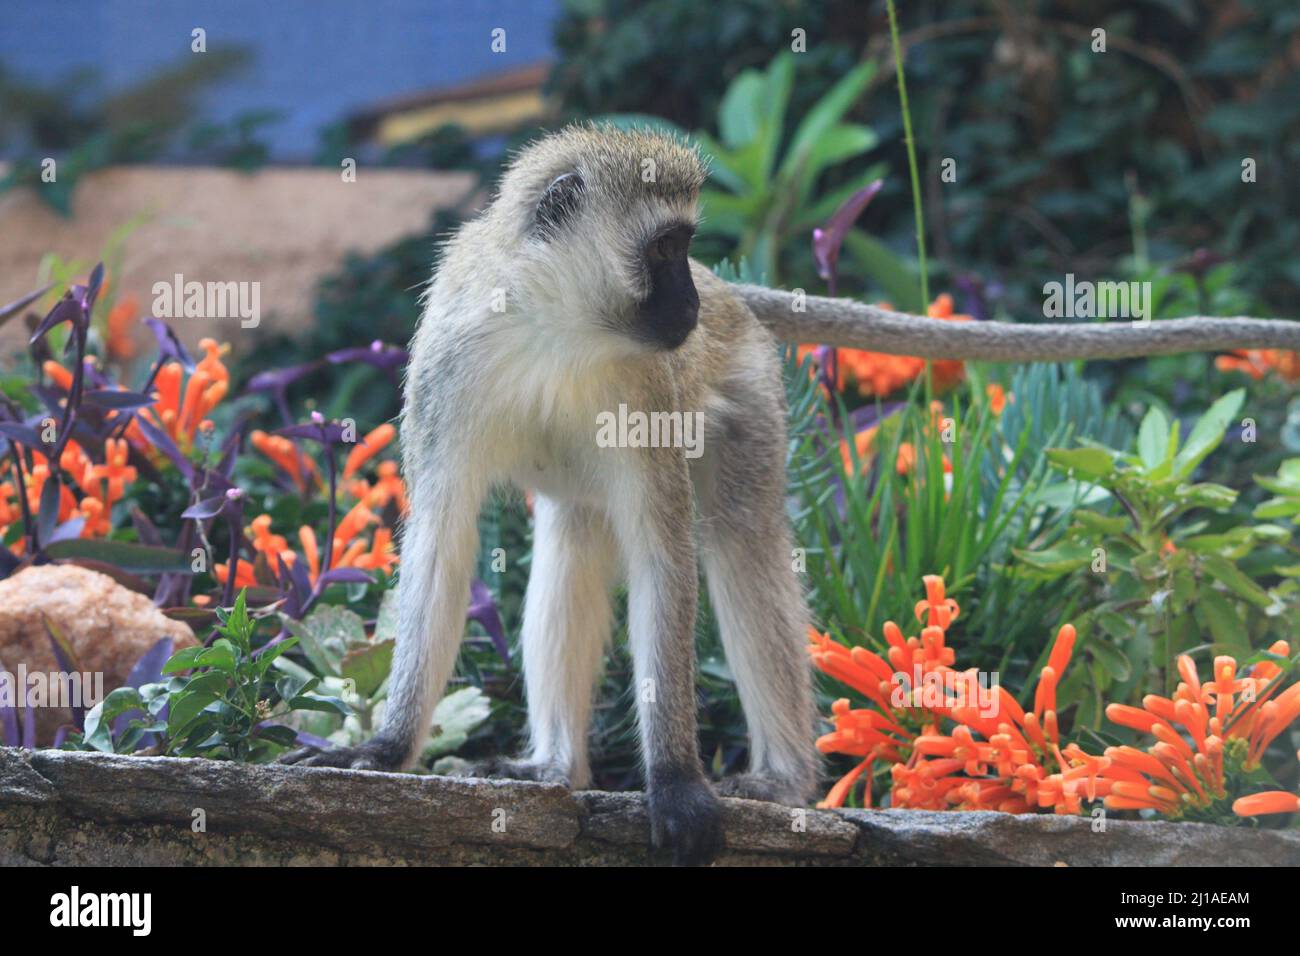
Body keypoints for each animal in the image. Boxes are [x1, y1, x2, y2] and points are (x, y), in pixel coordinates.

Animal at [283, 124, 1300, 865]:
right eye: (665, 246)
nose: (691, 301)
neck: (552, 327)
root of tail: (741, 307)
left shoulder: (648, 392)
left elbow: (667, 556)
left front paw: (675, 780)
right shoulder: (449, 370)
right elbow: (445, 542)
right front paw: (382, 753)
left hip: (745, 406)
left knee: (735, 539)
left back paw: (778, 780)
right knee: (575, 538)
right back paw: (554, 769)